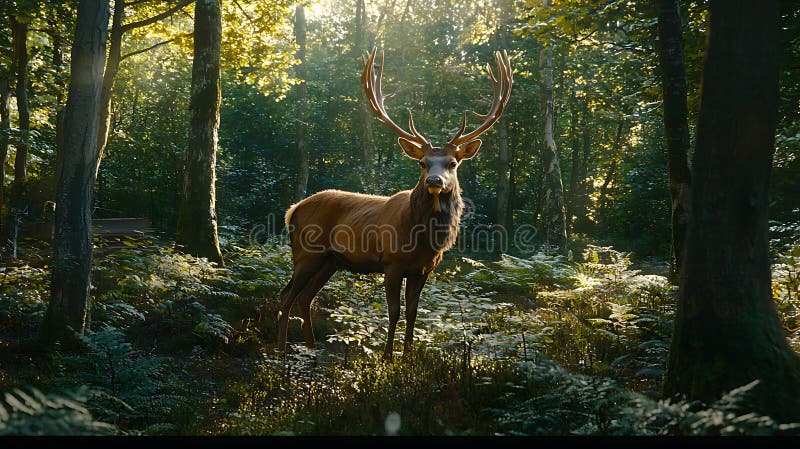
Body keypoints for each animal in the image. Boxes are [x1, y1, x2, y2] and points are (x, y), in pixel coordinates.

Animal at [276, 47, 512, 360]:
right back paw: (280, 353)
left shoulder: (424, 269)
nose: (434, 181)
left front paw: (409, 356)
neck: (423, 239)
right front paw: (387, 357)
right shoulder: (392, 262)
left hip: (330, 260)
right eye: (423, 163)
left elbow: (413, 312)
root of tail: (292, 211)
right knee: (286, 296)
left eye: (452, 163)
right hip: (306, 253)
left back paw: (313, 351)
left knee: (305, 297)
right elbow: (394, 311)